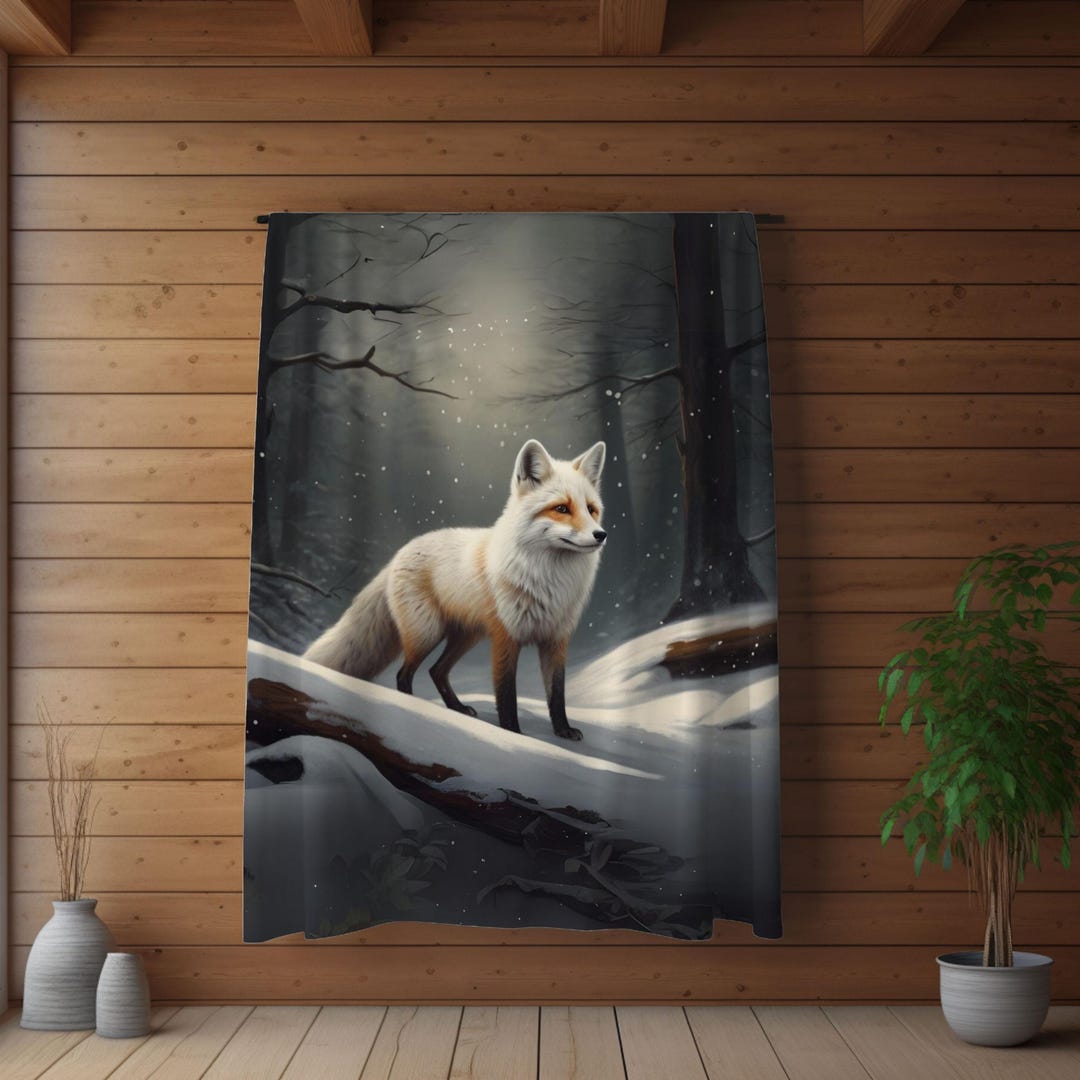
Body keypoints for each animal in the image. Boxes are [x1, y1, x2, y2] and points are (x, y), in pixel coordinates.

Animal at [304, 438, 608, 741]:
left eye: (591, 509)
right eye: (562, 509)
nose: (601, 535)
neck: (549, 580)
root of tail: (399, 553)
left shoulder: (556, 639)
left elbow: (557, 693)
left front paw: (563, 731)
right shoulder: (506, 637)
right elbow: (506, 695)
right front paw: (512, 734)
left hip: (466, 636)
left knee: (436, 671)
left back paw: (457, 708)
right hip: (427, 633)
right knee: (405, 674)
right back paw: (414, 710)